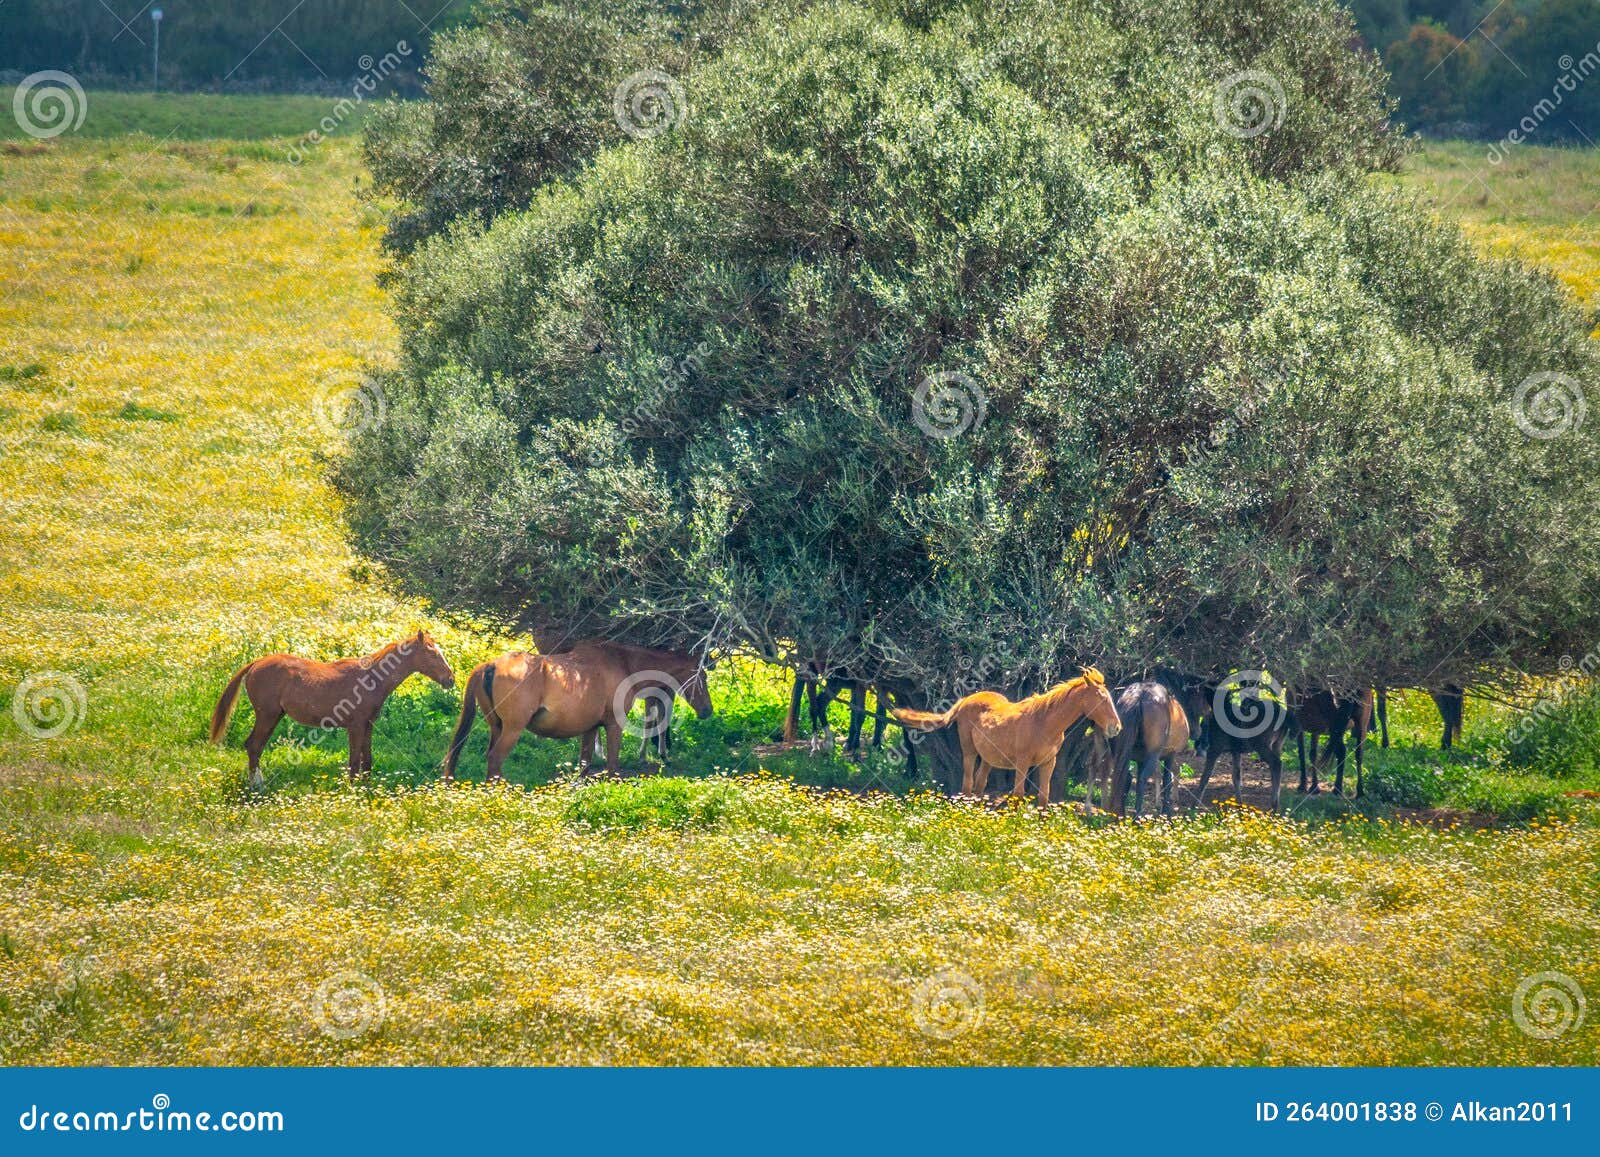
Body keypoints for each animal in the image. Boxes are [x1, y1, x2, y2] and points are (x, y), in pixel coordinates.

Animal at [209, 631, 455, 788]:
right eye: (432, 653)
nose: (450, 679)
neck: (371, 678)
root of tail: (255, 664)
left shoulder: (368, 725)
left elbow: (367, 759)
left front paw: (367, 788)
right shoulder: (355, 726)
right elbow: (354, 761)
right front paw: (352, 790)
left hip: (273, 715)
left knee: (255, 746)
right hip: (267, 715)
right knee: (254, 746)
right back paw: (257, 787)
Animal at [444, 641, 712, 781]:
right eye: (701, 677)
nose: (707, 710)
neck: (624, 664)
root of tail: (489, 665)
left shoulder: (590, 728)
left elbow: (584, 764)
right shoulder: (613, 726)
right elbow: (612, 766)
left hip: (497, 727)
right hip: (512, 729)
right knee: (495, 759)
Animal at [893, 668, 1122, 809]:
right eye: (1102, 698)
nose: (1116, 727)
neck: (1044, 722)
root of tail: (965, 700)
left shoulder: (1049, 762)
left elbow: (1044, 797)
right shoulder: (1022, 762)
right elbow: (1019, 794)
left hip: (987, 758)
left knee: (980, 785)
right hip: (969, 752)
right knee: (967, 785)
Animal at [1091, 681, 1190, 817]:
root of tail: (1140, 695)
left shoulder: (1139, 760)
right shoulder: (1171, 754)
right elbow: (1166, 780)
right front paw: (1166, 813)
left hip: (1120, 753)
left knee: (1124, 777)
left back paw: (1120, 813)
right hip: (1153, 755)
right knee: (1142, 780)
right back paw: (1137, 816)